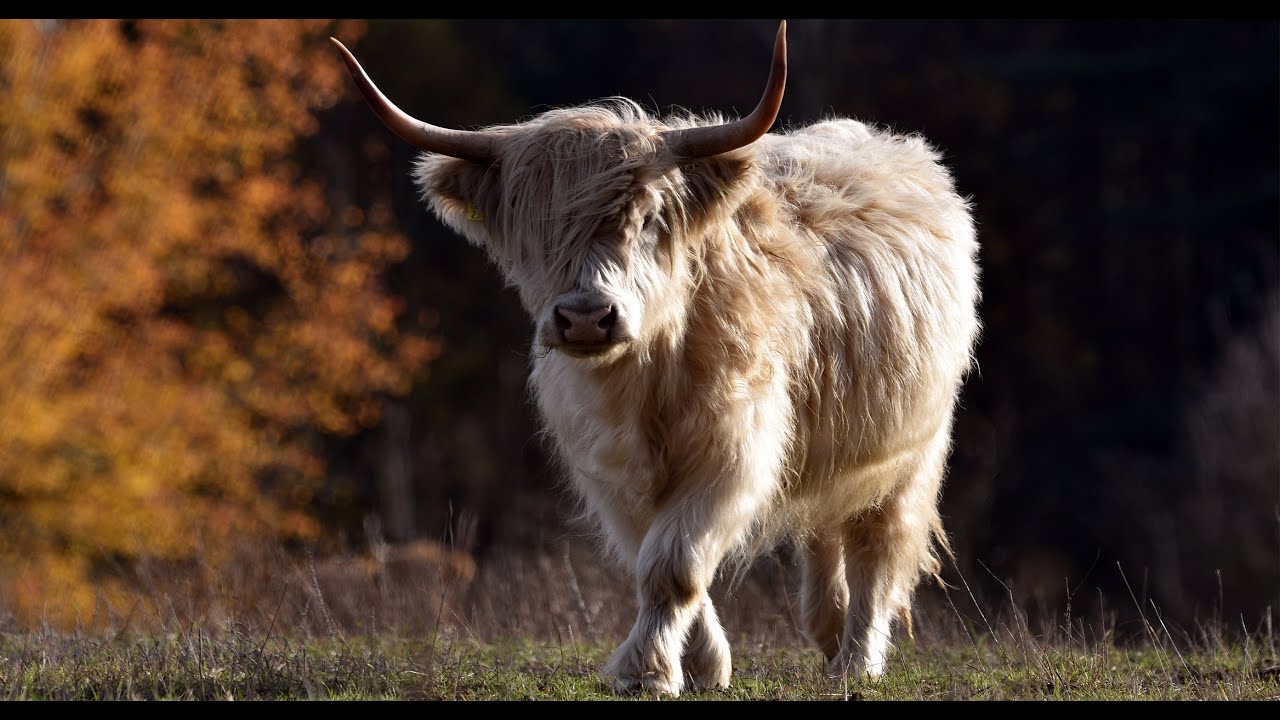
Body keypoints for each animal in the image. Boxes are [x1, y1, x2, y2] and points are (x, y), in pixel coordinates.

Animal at [331, 20, 980, 695]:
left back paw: (857, 659)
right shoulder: (611, 469)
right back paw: (827, 634)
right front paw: (700, 663)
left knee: (878, 542)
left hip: (913, 445)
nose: (585, 317)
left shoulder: (731, 451)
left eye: (647, 219)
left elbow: (673, 564)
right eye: (534, 230)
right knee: (824, 529)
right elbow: (652, 556)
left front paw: (648, 670)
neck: (645, 378)